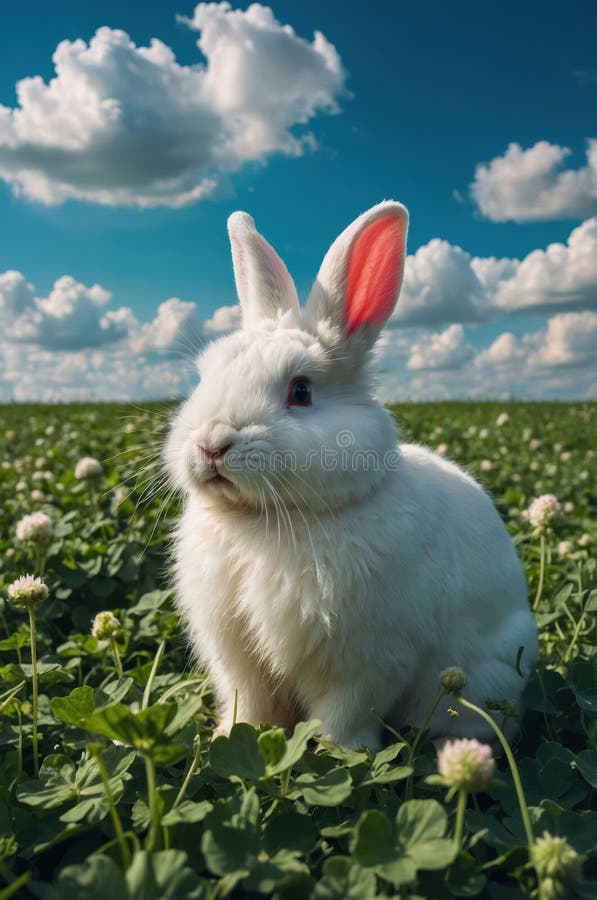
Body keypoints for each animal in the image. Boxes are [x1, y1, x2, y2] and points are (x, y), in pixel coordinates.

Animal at [165, 201, 538, 750]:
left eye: (301, 391)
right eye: (205, 376)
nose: (211, 445)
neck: (261, 520)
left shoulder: (367, 661)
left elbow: (344, 714)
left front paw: (339, 752)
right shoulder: (238, 660)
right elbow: (248, 706)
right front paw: (228, 737)